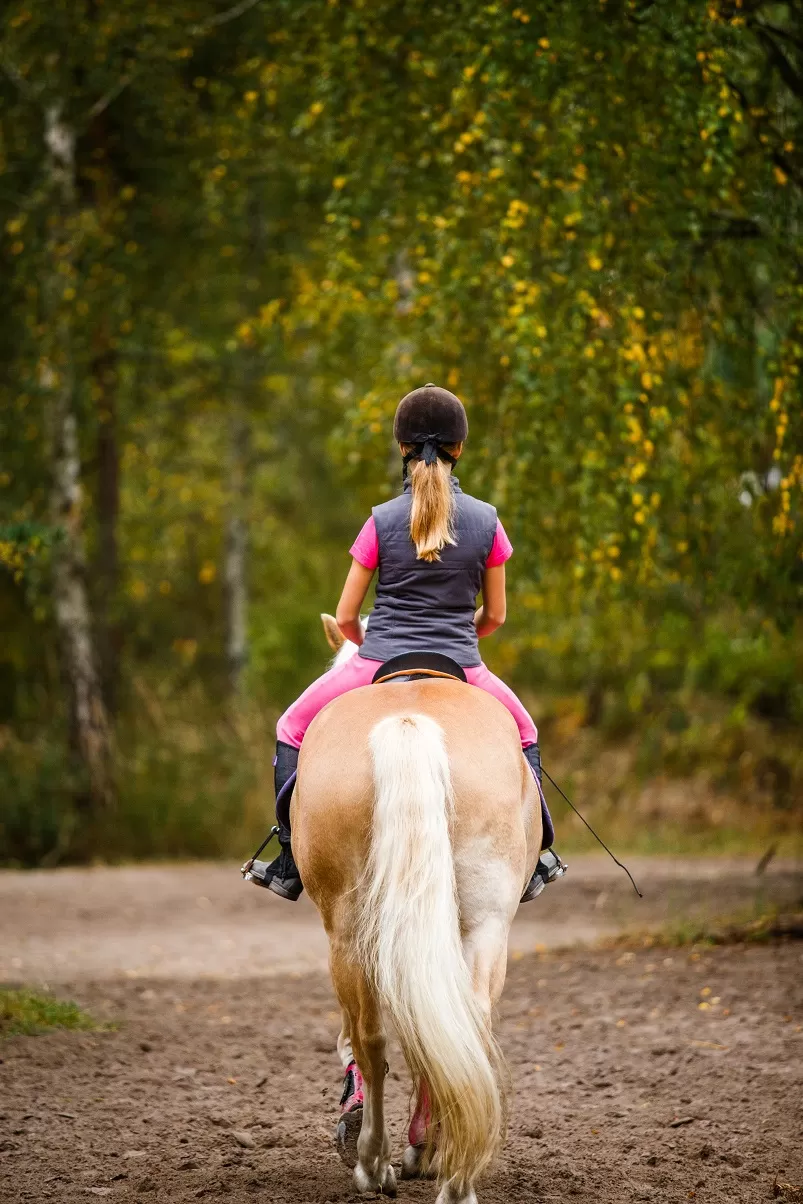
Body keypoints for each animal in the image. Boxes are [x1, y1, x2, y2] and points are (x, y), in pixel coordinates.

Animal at [292, 616, 544, 1199]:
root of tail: (408, 722)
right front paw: (424, 1147)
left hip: (349, 929)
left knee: (373, 1037)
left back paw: (374, 1162)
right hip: (483, 925)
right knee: (461, 1025)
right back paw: (452, 1178)